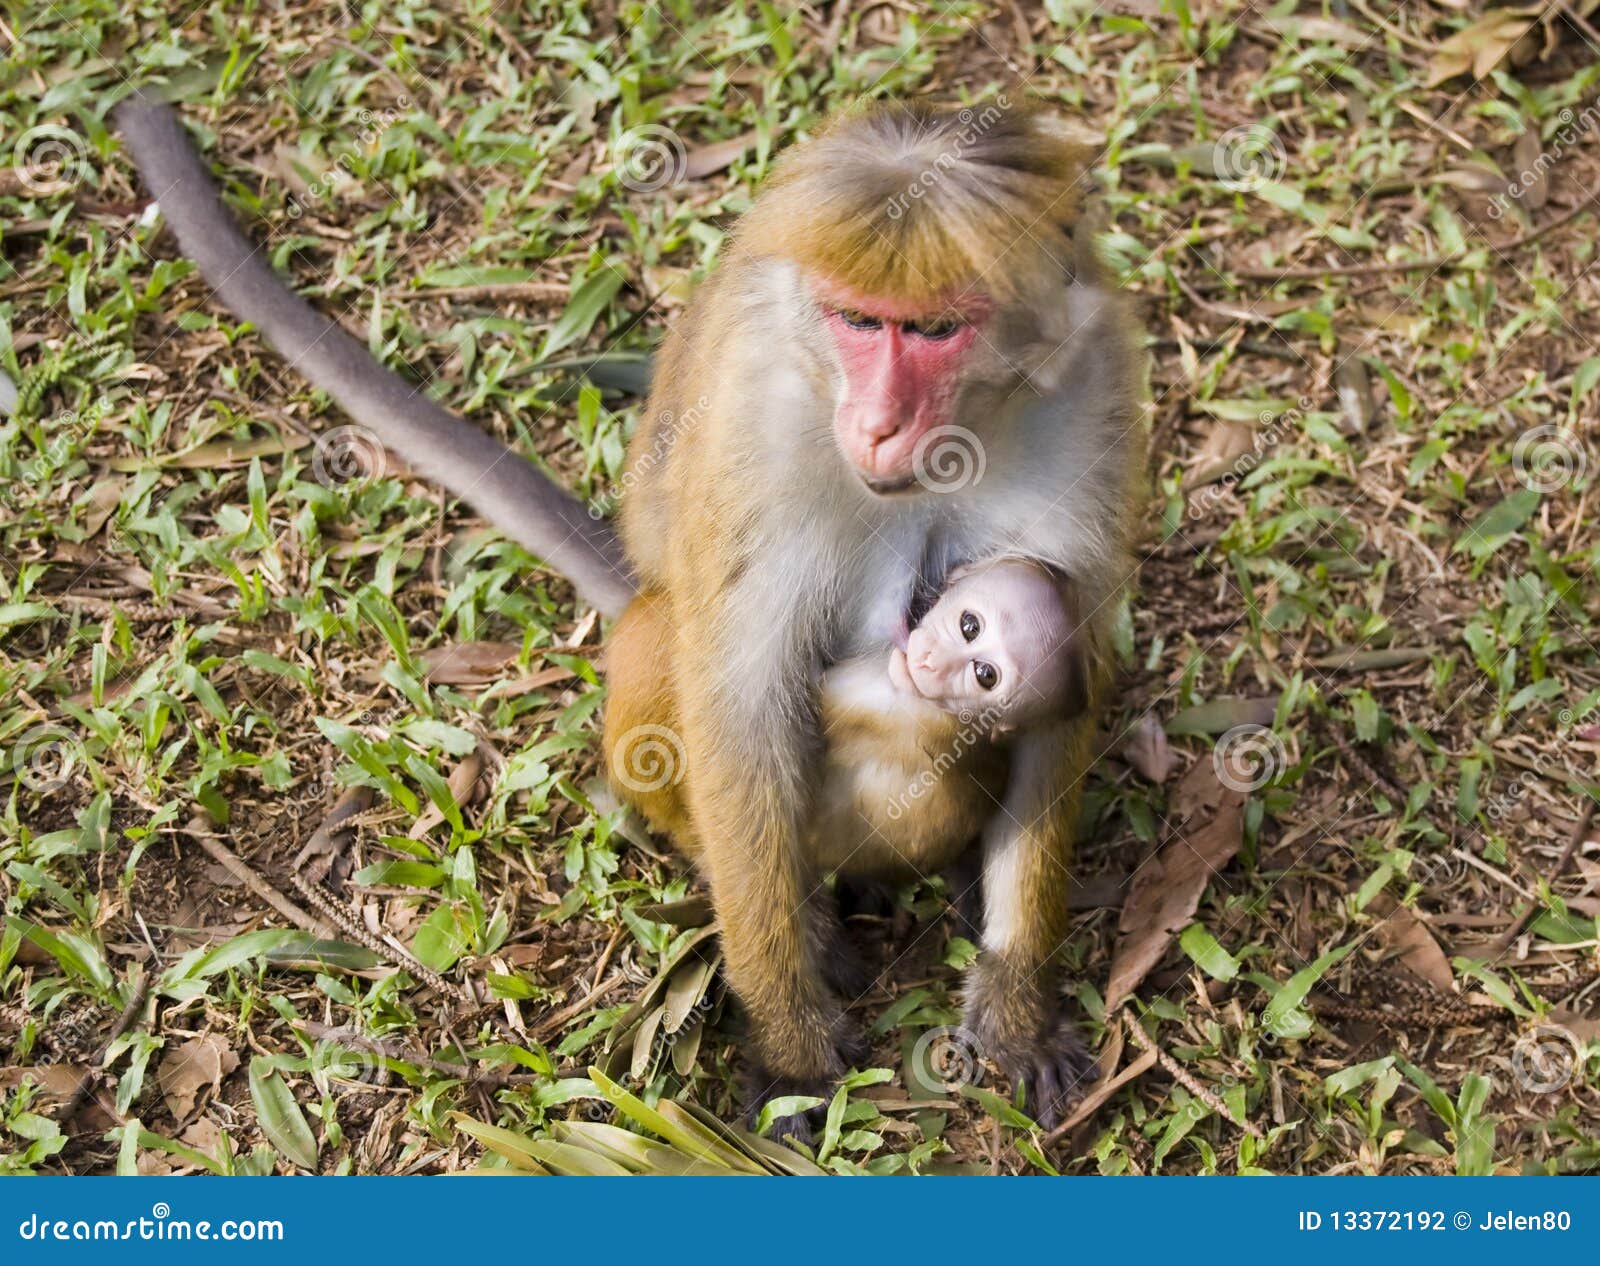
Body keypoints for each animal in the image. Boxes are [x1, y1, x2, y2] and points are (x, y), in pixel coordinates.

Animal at [115, 94, 1146, 1137]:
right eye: (858, 322)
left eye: (935, 330)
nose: (878, 423)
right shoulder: (755, 416)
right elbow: (739, 703)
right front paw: (792, 1042)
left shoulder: (1088, 387)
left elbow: (1065, 674)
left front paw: (1016, 1007)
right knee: (667, 640)